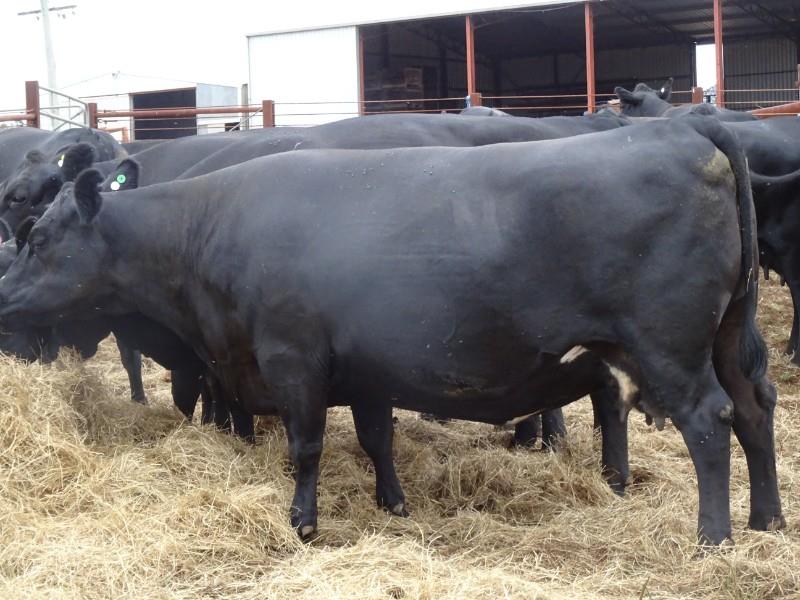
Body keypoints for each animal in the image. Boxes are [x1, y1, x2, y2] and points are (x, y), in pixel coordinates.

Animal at [0, 116, 782, 545]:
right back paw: (767, 522)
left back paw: (713, 537)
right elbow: (378, 439)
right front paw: (395, 505)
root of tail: (680, 128)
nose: (2, 294)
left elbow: (306, 446)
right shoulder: (366, 367)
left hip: (670, 348)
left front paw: (304, 523)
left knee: (710, 422)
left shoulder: (293, 359)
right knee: (753, 409)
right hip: (725, 340)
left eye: (37, 237)